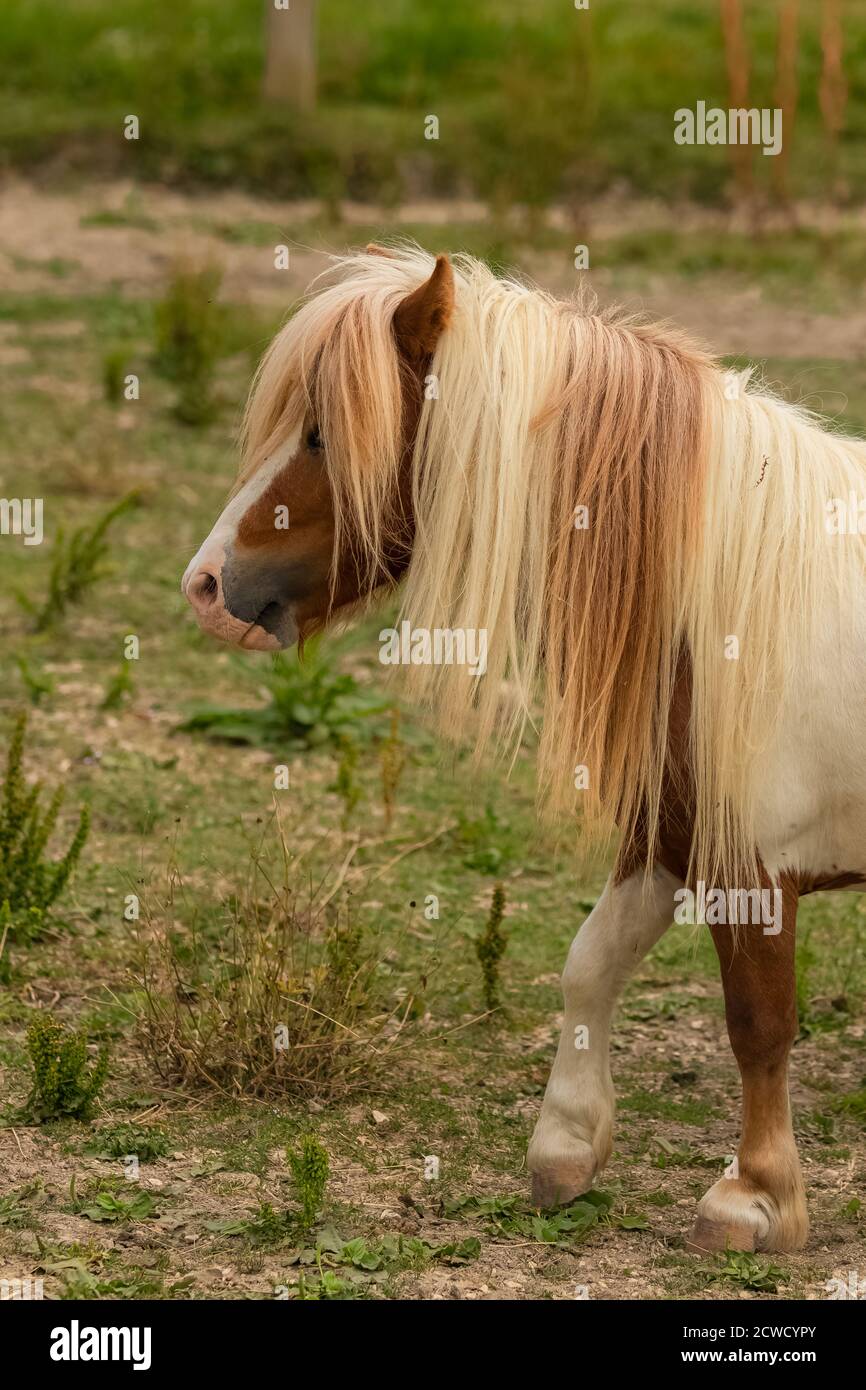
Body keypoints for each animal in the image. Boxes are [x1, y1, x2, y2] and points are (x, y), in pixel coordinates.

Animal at [183, 242, 866, 1254]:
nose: (205, 585)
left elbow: (759, 1021)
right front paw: (567, 1150)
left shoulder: (753, 864)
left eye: (319, 435)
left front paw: (755, 1198)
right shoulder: (668, 837)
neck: (734, 594)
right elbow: (590, 964)